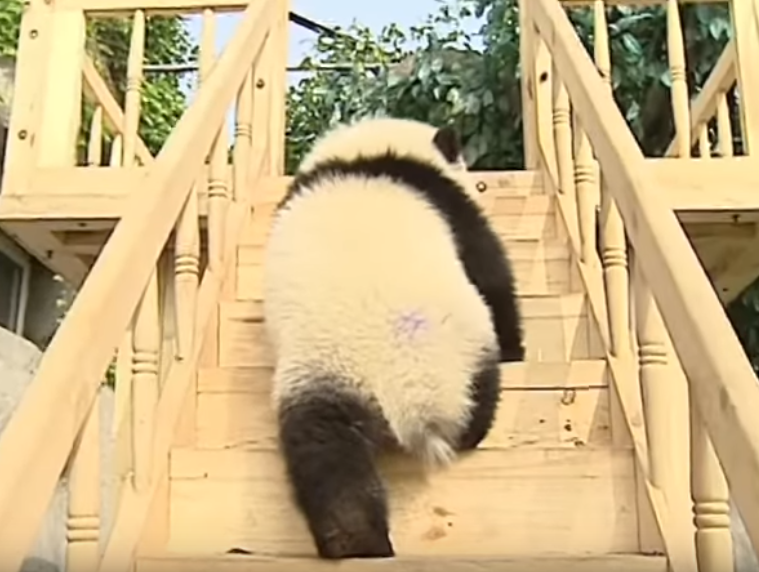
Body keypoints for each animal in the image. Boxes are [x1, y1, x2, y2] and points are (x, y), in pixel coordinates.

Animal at [261, 116, 524, 560]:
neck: (365, 150)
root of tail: (398, 386)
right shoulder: (450, 207)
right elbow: (492, 272)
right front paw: (516, 350)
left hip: (318, 384)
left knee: (330, 466)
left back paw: (356, 544)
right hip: (462, 340)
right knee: (479, 397)